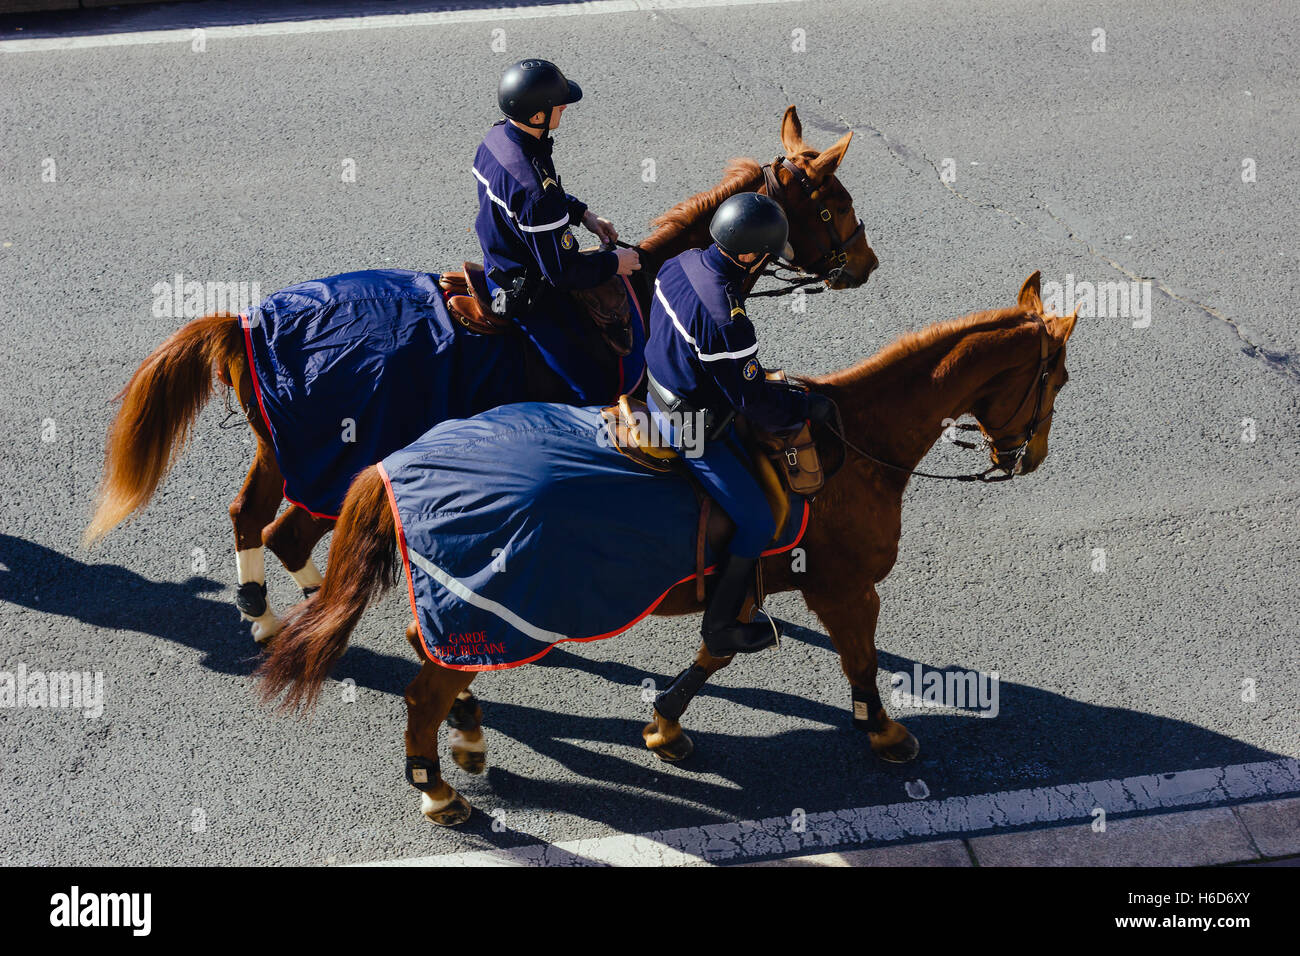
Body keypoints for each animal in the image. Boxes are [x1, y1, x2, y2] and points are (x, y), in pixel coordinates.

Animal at [82, 106, 879, 642]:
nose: (867, 264)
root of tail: (246, 323)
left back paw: (275, 613)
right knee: (282, 533)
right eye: (836, 204)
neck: (649, 289)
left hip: (280, 452)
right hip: (322, 461)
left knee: (254, 521)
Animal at [256, 272, 1079, 825]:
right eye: (1058, 379)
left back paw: (465, 734)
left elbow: (715, 652)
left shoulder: (749, 590)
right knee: (423, 687)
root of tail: (399, 461)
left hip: (465, 600)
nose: (1031, 458)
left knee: (425, 650)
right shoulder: (843, 587)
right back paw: (436, 785)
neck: (856, 441)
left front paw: (667, 725)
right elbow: (860, 661)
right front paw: (882, 729)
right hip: (489, 605)